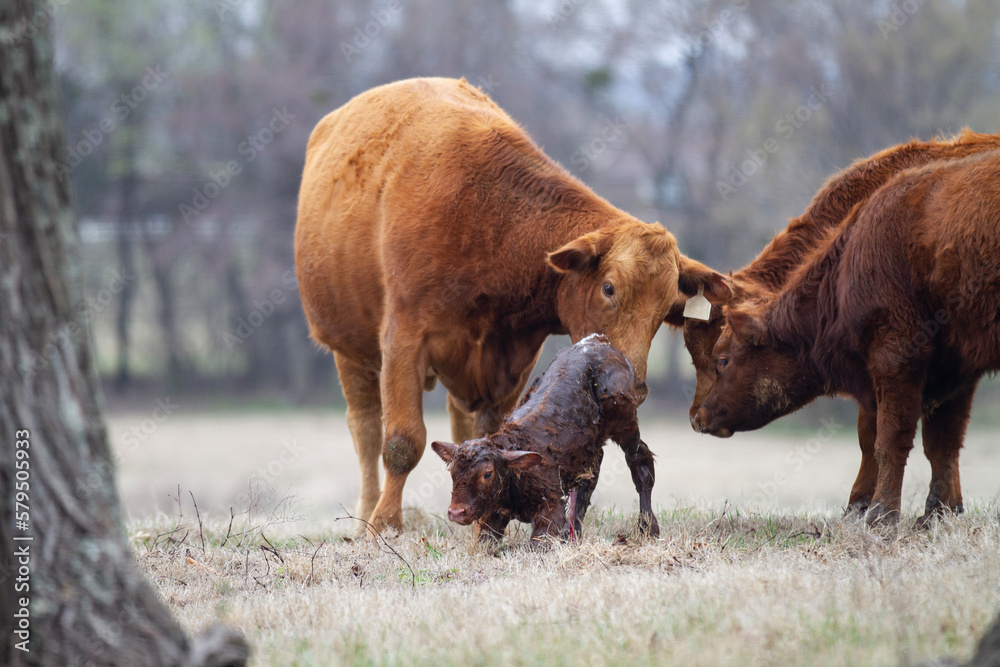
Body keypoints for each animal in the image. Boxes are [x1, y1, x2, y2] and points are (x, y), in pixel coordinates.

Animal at [432, 334, 657, 543]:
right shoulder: (495, 513)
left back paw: (648, 528)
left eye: (487, 474)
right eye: (452, 471)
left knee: (640, 460)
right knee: (590, 475)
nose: (457, 512)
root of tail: (596, 341)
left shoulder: (551, 505)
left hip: (624, 419)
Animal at [677, 130, 1000, 518]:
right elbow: (937, 441)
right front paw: (939, 509)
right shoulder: (950, 371)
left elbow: (881, 437)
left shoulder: (896, 359)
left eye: (721, 358)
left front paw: (866, 506)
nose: (696, 417)